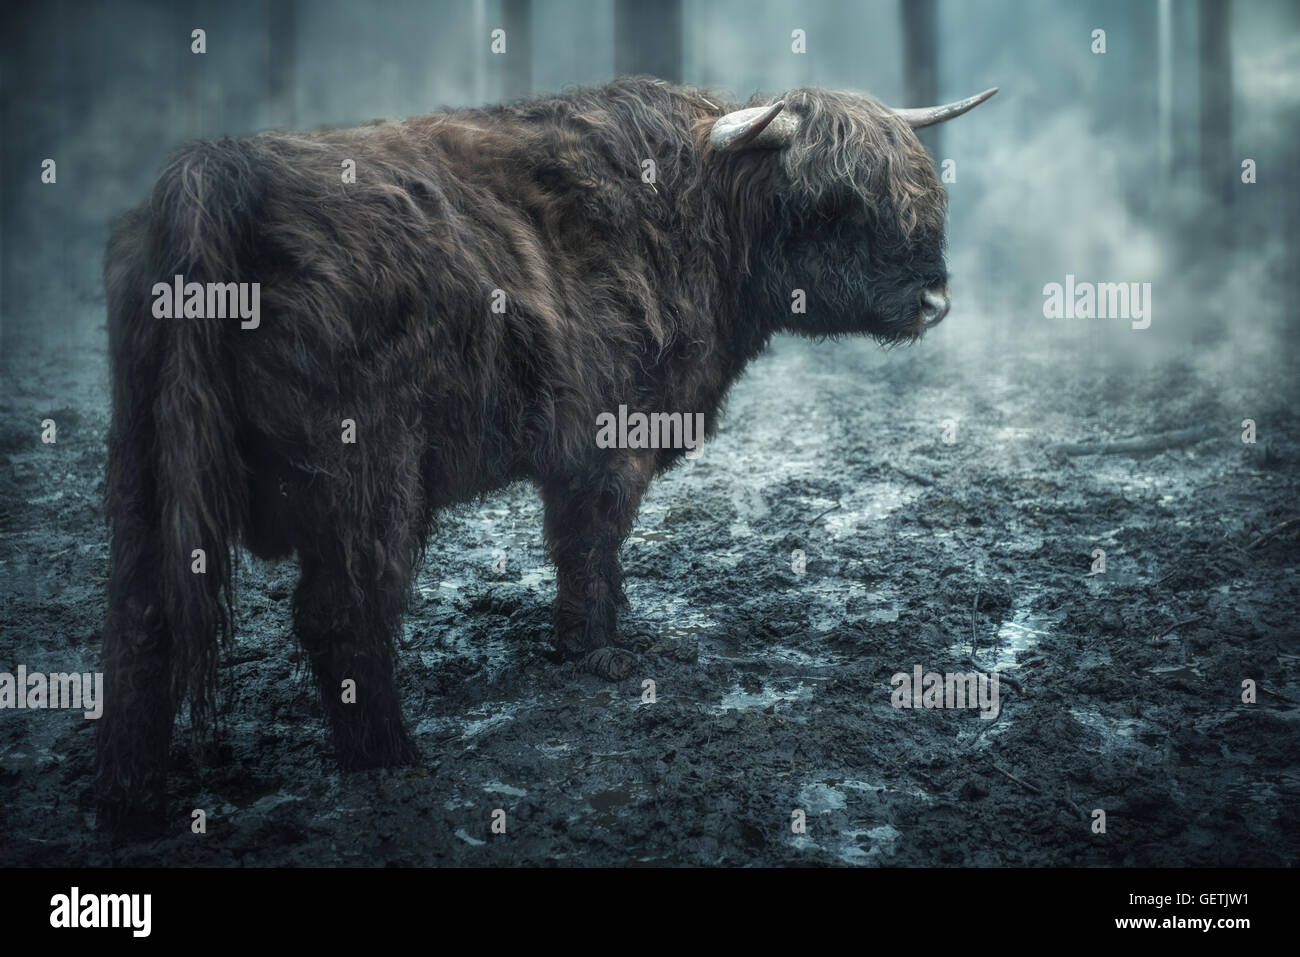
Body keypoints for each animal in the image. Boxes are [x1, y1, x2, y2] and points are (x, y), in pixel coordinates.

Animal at [96, 76, 996, 832]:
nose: (935, 298)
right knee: (341, 611)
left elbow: (585, 547)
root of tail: (216, 172)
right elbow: (590, 542)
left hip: (147, 459)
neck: (699, 216)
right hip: (368, 470)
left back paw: (133, 799)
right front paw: (598, 650)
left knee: (144, 621)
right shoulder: (607, 437)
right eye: (835, 199)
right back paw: (391, 763)